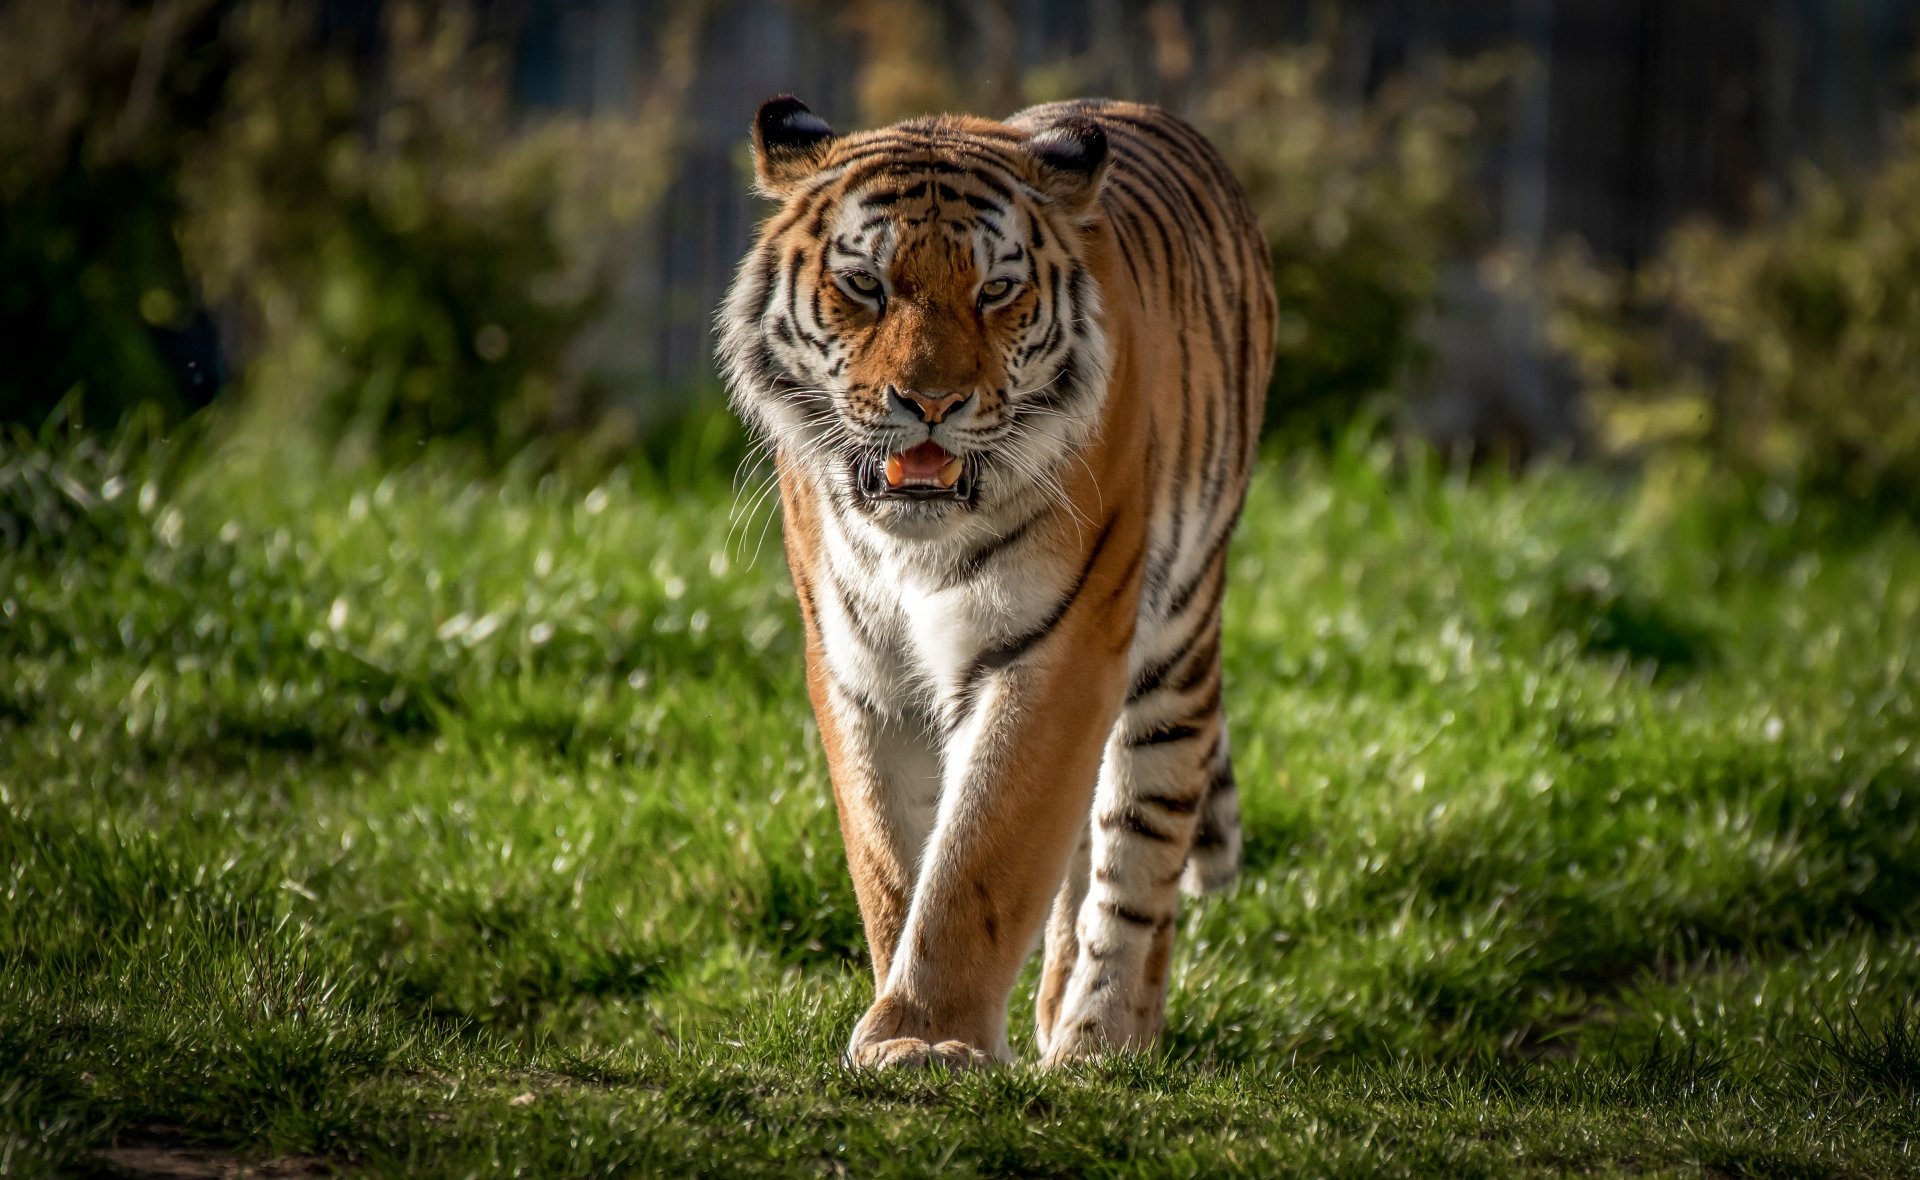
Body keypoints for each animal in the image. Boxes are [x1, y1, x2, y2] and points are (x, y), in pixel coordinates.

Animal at [716, 94, 1276, 1068]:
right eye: (866, 285)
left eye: (994, 292)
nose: (930, 403)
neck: (917, 546)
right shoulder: (859, 668)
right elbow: (892, 856)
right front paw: (904, 1023)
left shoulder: (1060, 647)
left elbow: (984, 851)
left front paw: (927, 1037)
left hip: (1174, 648)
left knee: (1140, 846)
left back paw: (1101, 1040)